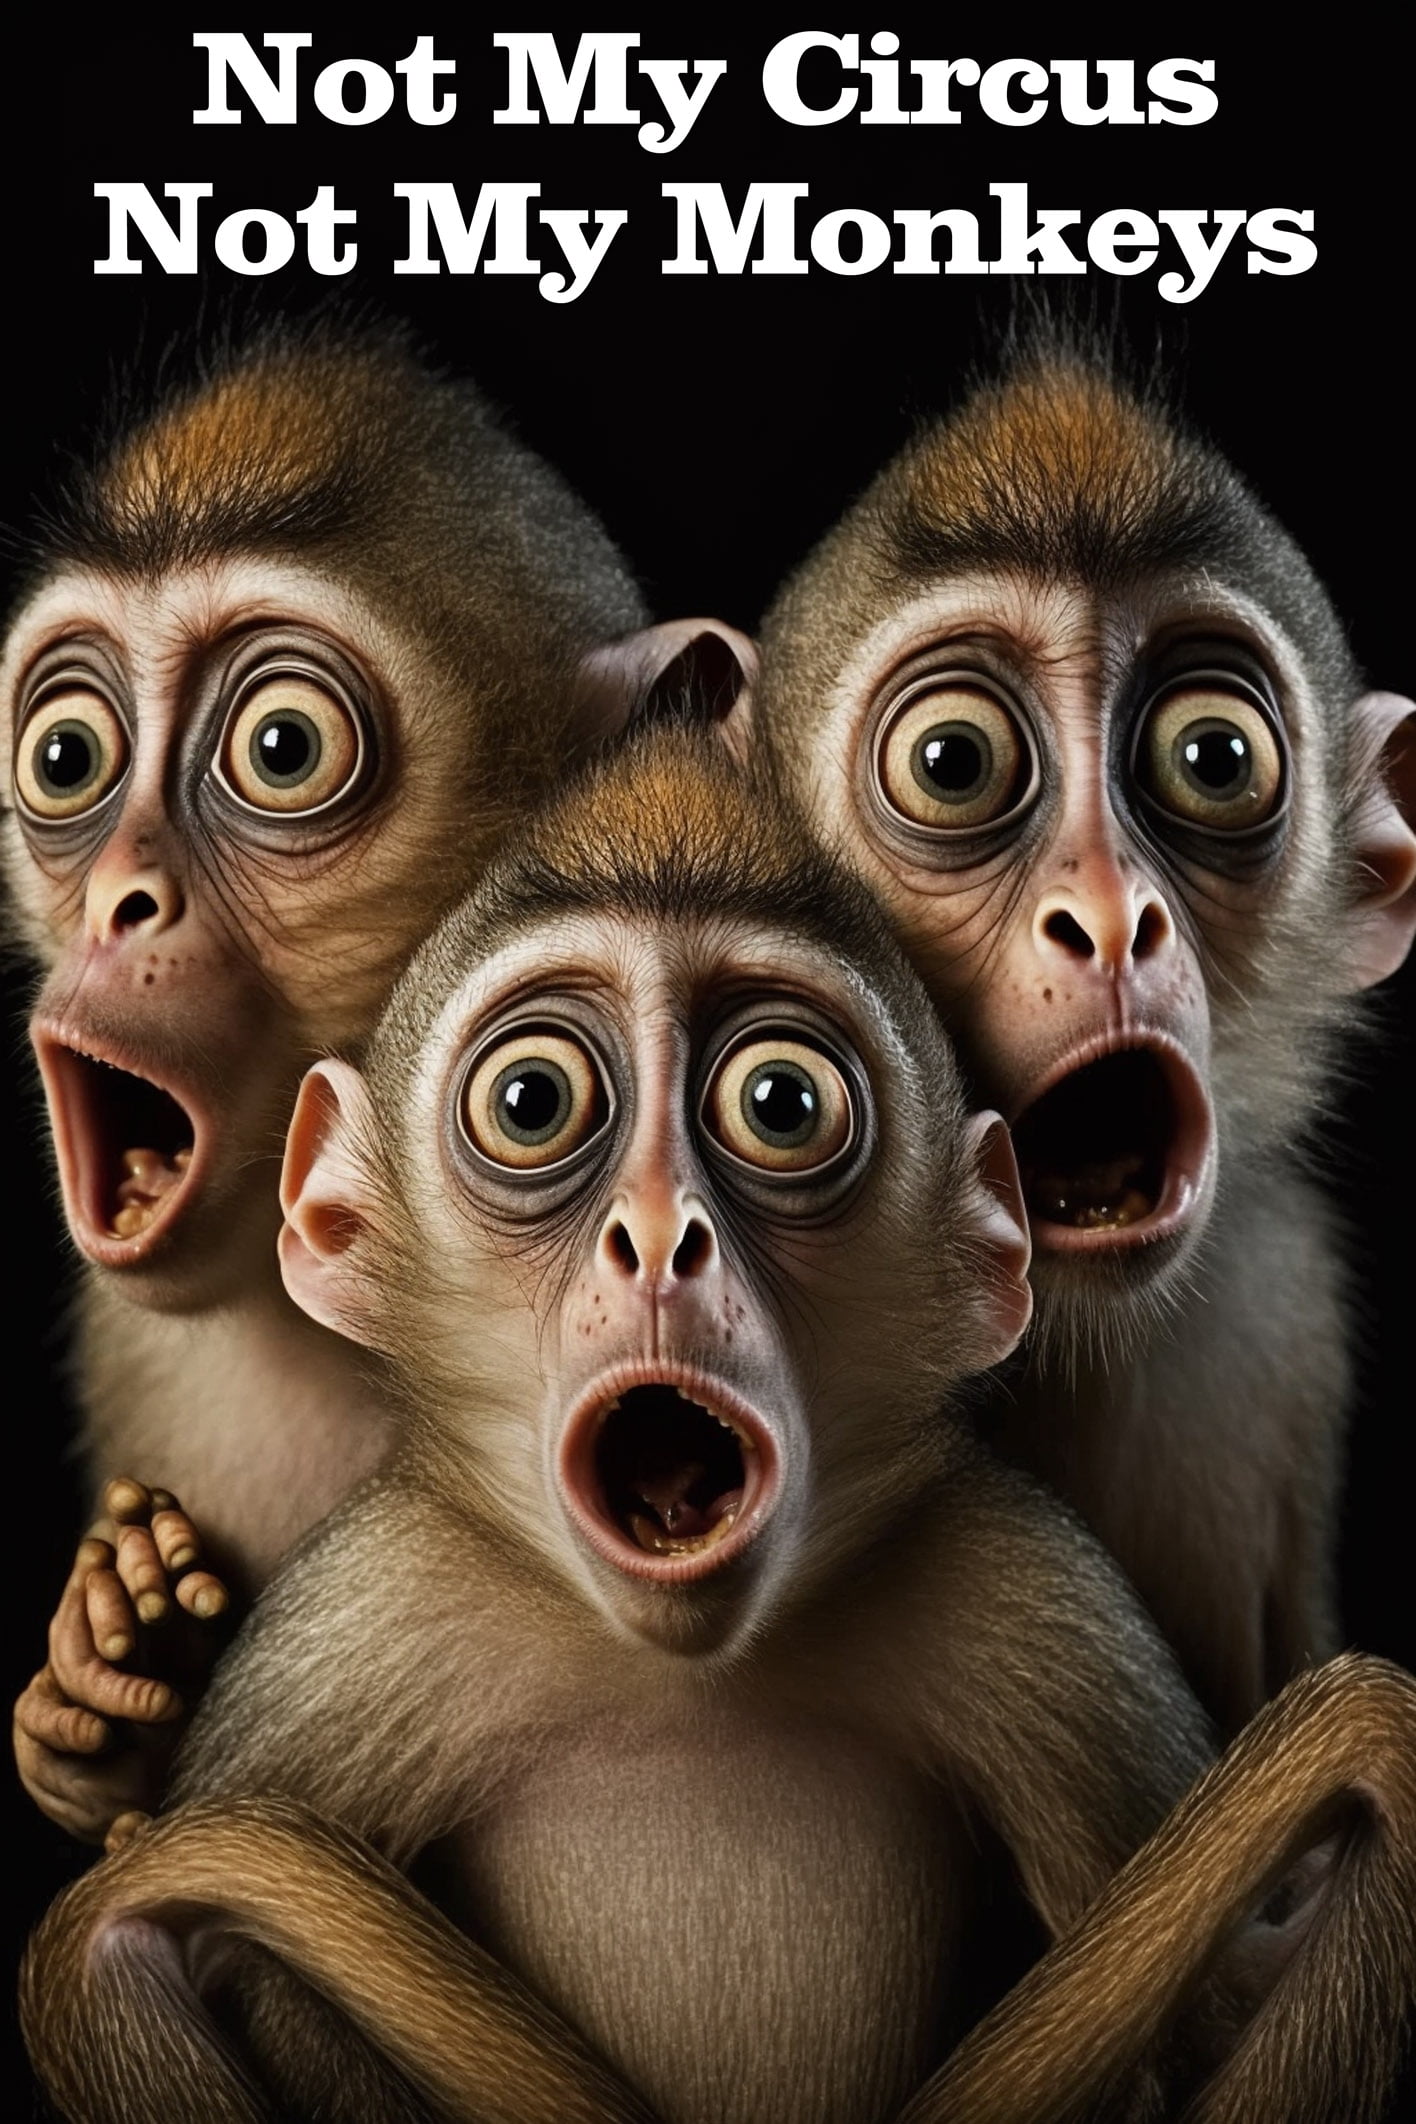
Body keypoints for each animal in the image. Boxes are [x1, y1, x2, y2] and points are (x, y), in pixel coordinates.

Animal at [21, 723, 1416, 2124]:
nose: (659, 1238)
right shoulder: (353, 1634)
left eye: (783, 1104)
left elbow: (1226, 1991)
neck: (680, 1668)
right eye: (530, 1102)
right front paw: (122, 1653)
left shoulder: (1042, 1607)